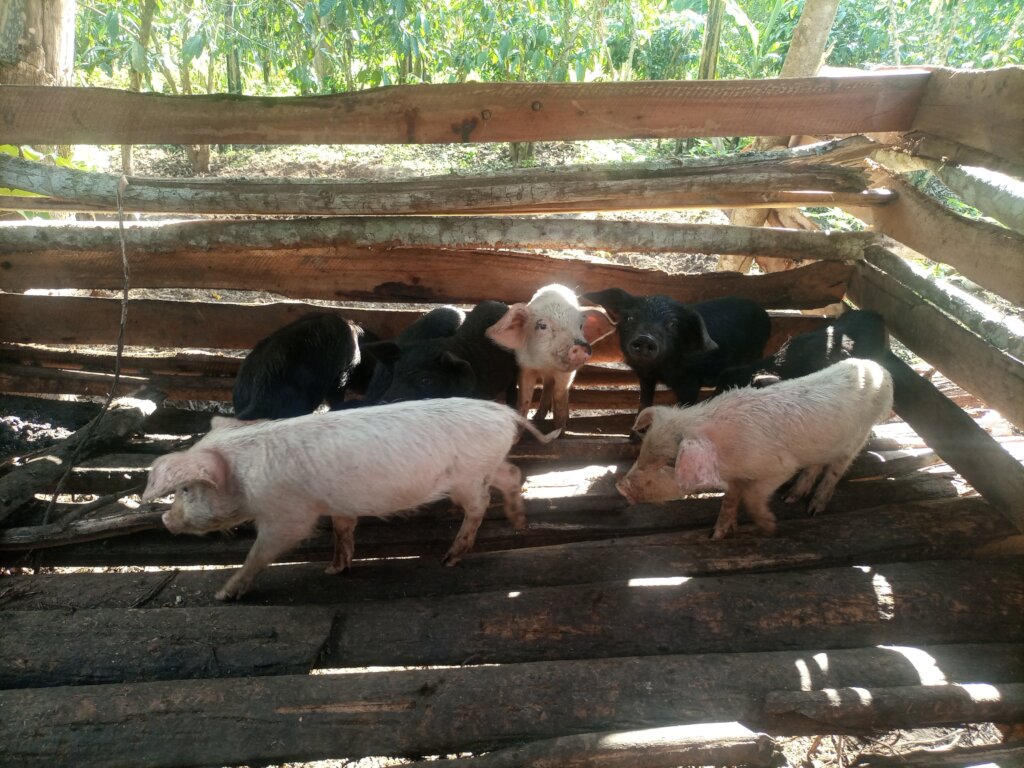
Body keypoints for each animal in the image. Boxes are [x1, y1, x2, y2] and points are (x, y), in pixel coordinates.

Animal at [142, 398, 559, 600]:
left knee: (480, 504)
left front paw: (222, 594)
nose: (165, 519)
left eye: (184, 489)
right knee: (513, 475)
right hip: (487, 465)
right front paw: (334, 569)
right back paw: (519, 522)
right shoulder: (337, 505)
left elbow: (262, 552)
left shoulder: (288, 514)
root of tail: (505, 412)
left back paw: (450, 559)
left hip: (467, 478)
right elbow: (344, 530)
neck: (244, 477)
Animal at [486, 284, 615, 431]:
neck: (546, 364)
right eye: (542, 326)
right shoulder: (525, 366)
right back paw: (537, 417)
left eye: (580, 326)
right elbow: (525, 398)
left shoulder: (567, 374)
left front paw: (561, 430)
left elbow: (559, 398)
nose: (581, 346)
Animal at [582, 289, 771, 412]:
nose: (645, 338)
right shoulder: (645, 376)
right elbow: (644, 402)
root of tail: (764, 313)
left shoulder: (690, 383)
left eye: (673, 324)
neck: (660, 369)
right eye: (630, 318)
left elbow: (683, 406)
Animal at [617, 358, 894, 540]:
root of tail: (882, 370)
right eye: (643, 452)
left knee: (835, 470)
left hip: (858, 435)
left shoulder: (779, 468)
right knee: (816, 464)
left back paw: (813, 509)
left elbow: (752, 495)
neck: (728, 458)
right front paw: (717, 535)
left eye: (669, 463)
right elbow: (730, 499)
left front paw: (770, 527)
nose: (620, 486)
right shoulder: (735, 476)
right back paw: (791, 497)